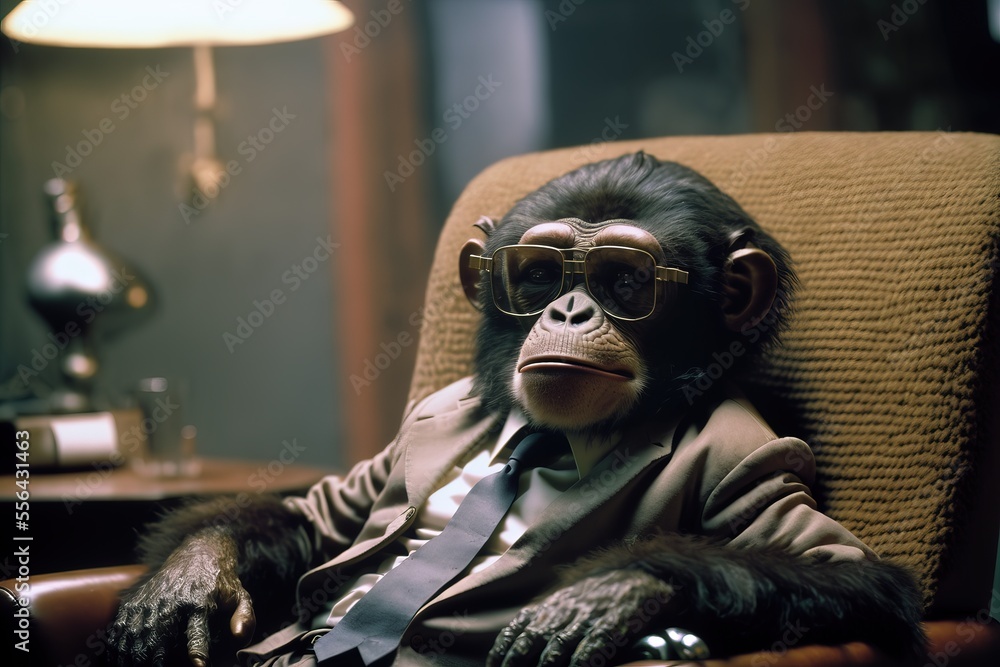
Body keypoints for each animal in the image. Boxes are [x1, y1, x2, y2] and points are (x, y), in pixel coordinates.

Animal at [107, 153, 924, 667]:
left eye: (625, 280)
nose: (568, 308)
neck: (550, 439)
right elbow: (317, 517)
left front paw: (611, 593)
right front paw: (187, 583)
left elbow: (849, 574)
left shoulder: (751, 454)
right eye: (535, 274)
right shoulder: (411, 436)